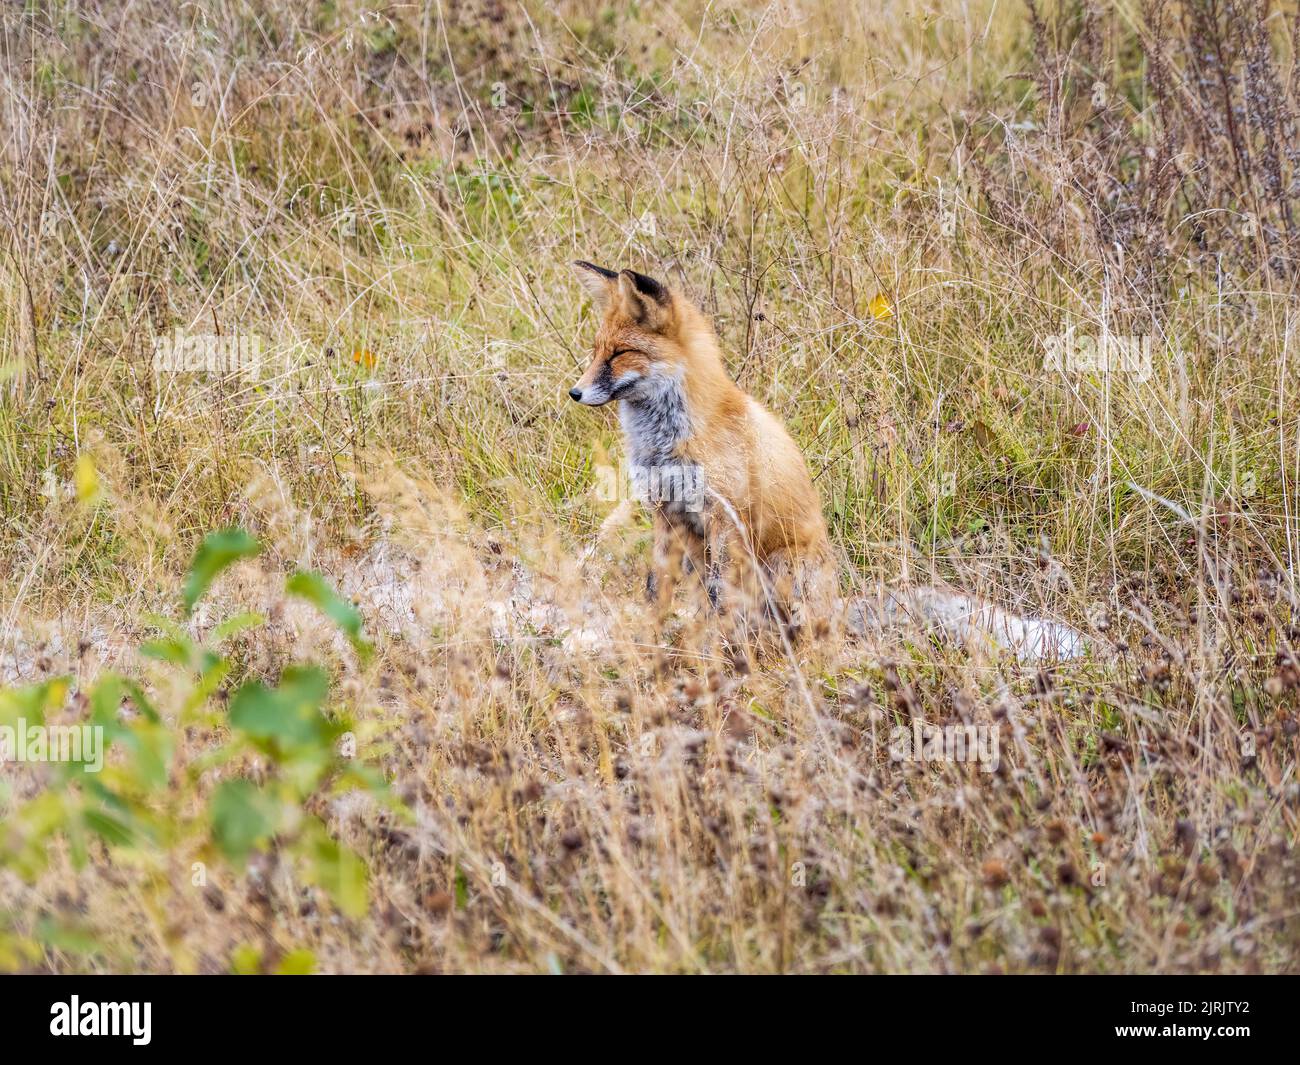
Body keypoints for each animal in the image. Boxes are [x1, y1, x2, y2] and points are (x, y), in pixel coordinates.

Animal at [568, 260, 836, 638]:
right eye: (596, 352)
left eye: (620, 353)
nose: (574, 392)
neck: (664, 442)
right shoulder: (667, 513)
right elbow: (657, 588)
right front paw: (650, 639)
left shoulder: (723, 517)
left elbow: (719, 593)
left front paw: (714, 643)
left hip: (783, 566)